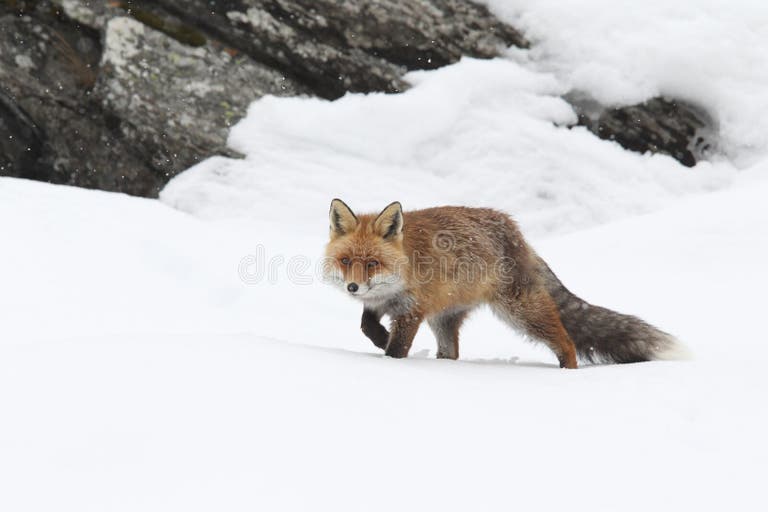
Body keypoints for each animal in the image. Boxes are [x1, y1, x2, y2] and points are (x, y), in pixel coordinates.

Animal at [324, 199, 687, 368]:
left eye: (373, 263)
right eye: (347, 262)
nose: (353, 288)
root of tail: (516, 232)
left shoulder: (412, 310)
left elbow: (397, 349)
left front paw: (390, 361)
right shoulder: (381, 305)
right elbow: (366, 326)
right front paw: (379, 337)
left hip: (520, 312)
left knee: (566, 340)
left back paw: (568, 373)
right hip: (444, 319)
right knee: (451, 353)